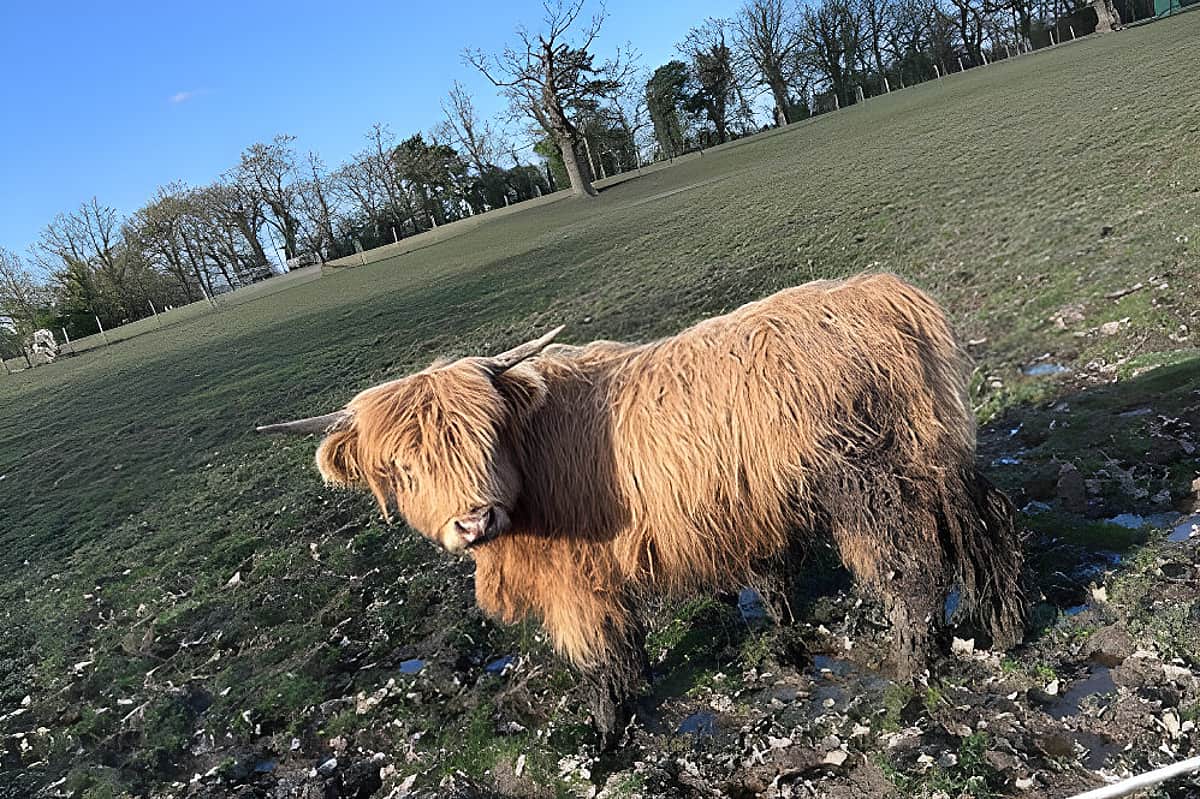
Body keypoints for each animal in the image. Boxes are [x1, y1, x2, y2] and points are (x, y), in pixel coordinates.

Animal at [258, 274, 1024, 736]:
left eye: (483, 437)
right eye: (403, 467)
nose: (474, 519)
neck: (532, 455)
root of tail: (886, 297)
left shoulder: (571, 577)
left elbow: (597, 652)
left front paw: (606, 731)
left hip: (869, 484)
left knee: (911, 570)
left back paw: (911, 671)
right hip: (934, 459)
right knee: (986, 526)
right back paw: (1005, 626)